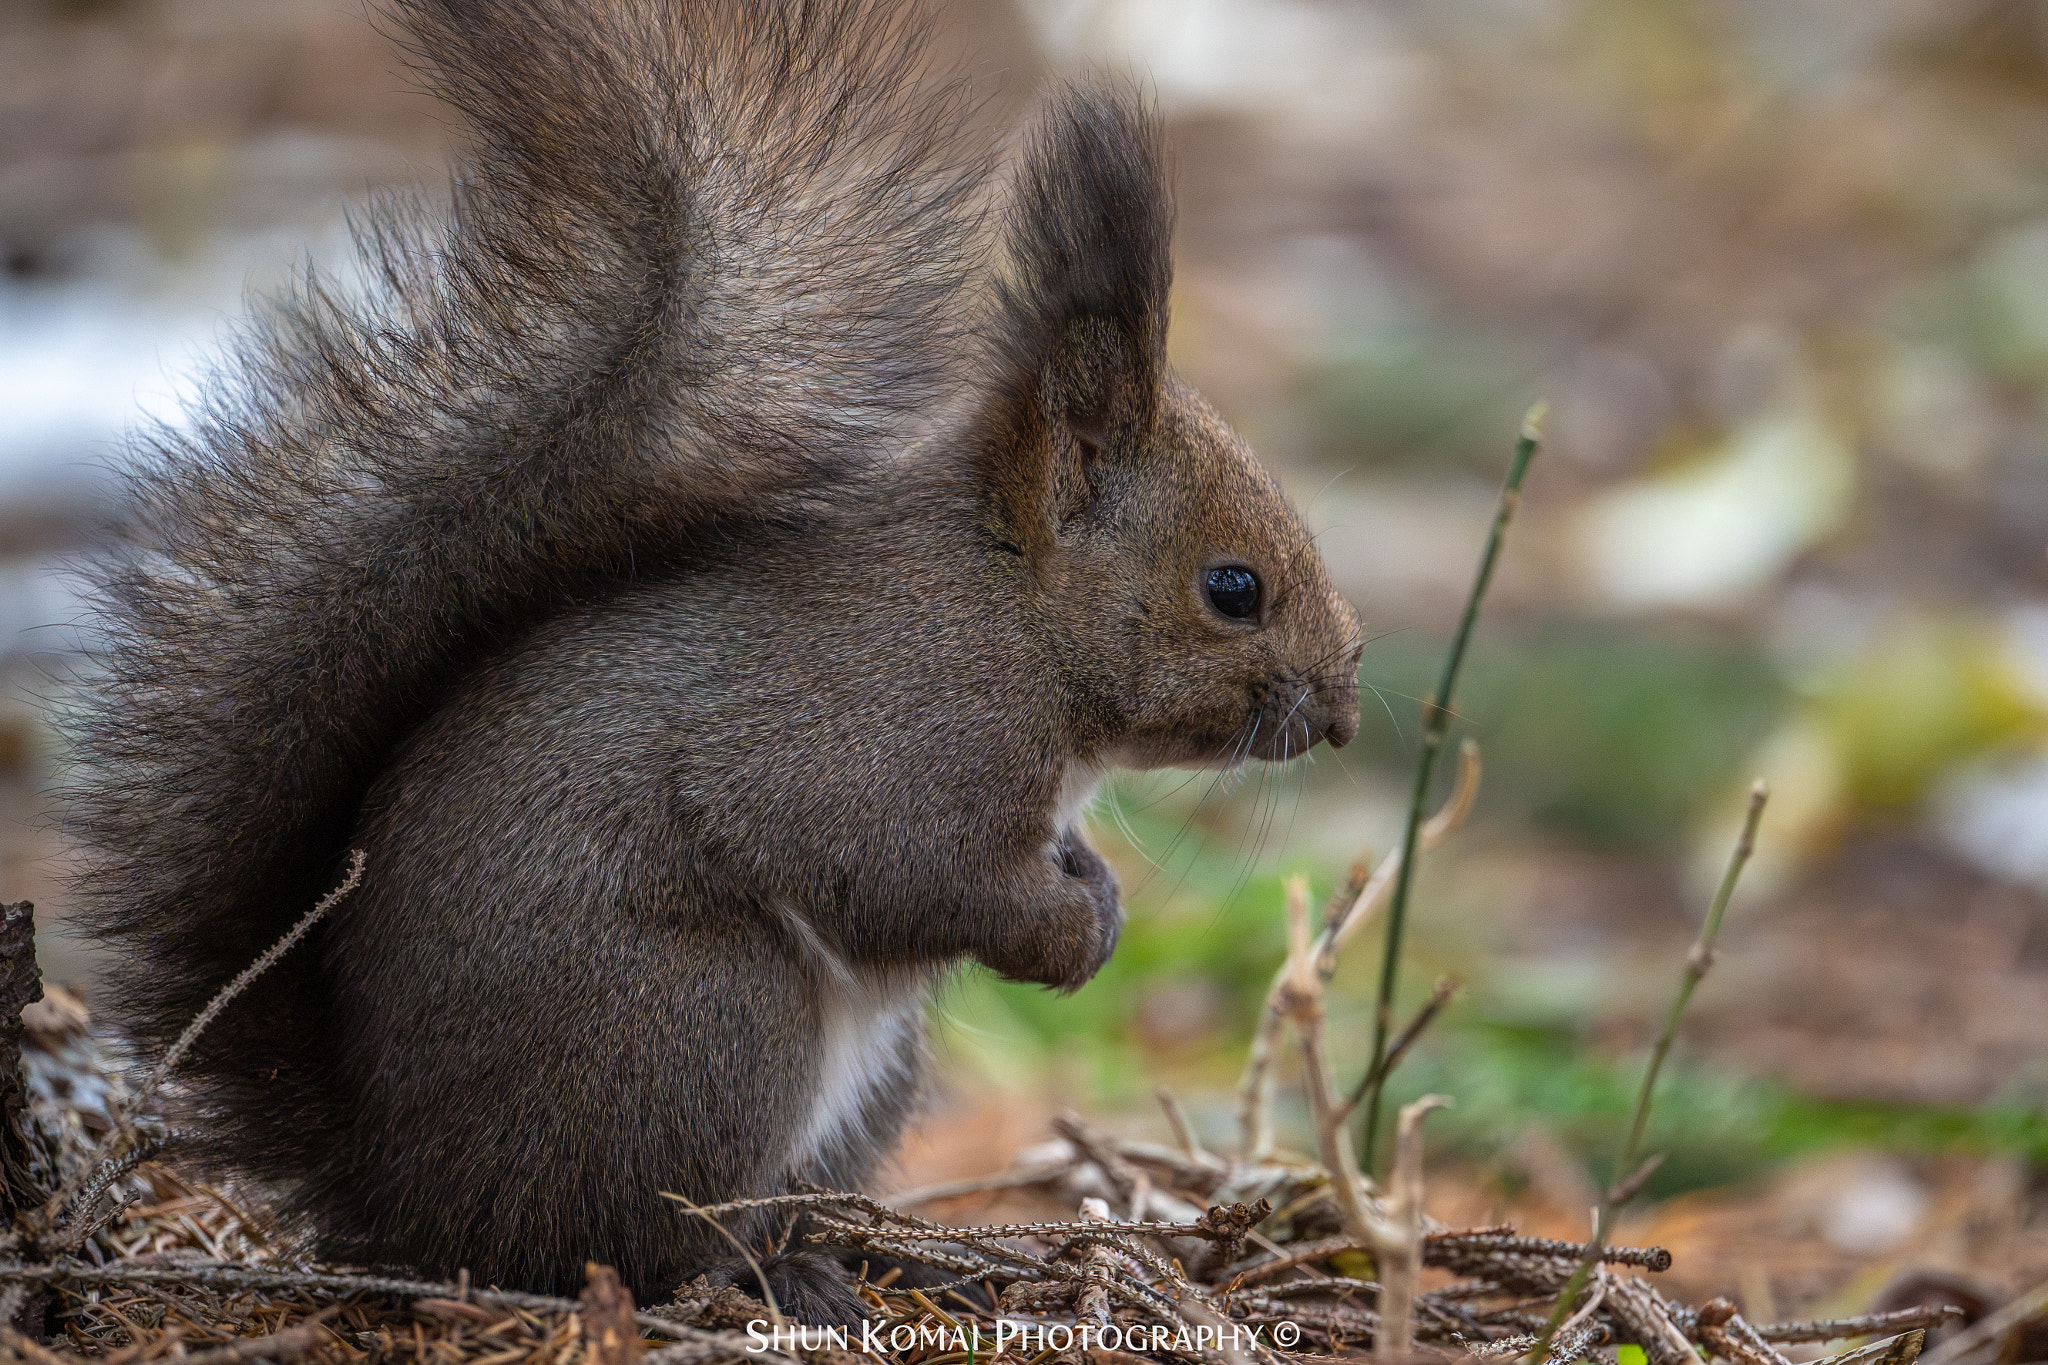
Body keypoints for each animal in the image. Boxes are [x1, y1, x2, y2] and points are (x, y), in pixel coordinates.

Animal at [61, 0, 1362, 1325]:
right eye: (1233, 589)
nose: (1341, 710)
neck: (1010, 618)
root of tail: (403, 1194)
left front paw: (1094, 897)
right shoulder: (879, 740)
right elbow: (902, 872)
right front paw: (1060, 934)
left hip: (863, 1080)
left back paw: (878, 1258)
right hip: (708, 1029)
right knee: (632, 1242)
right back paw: (767, 1278)